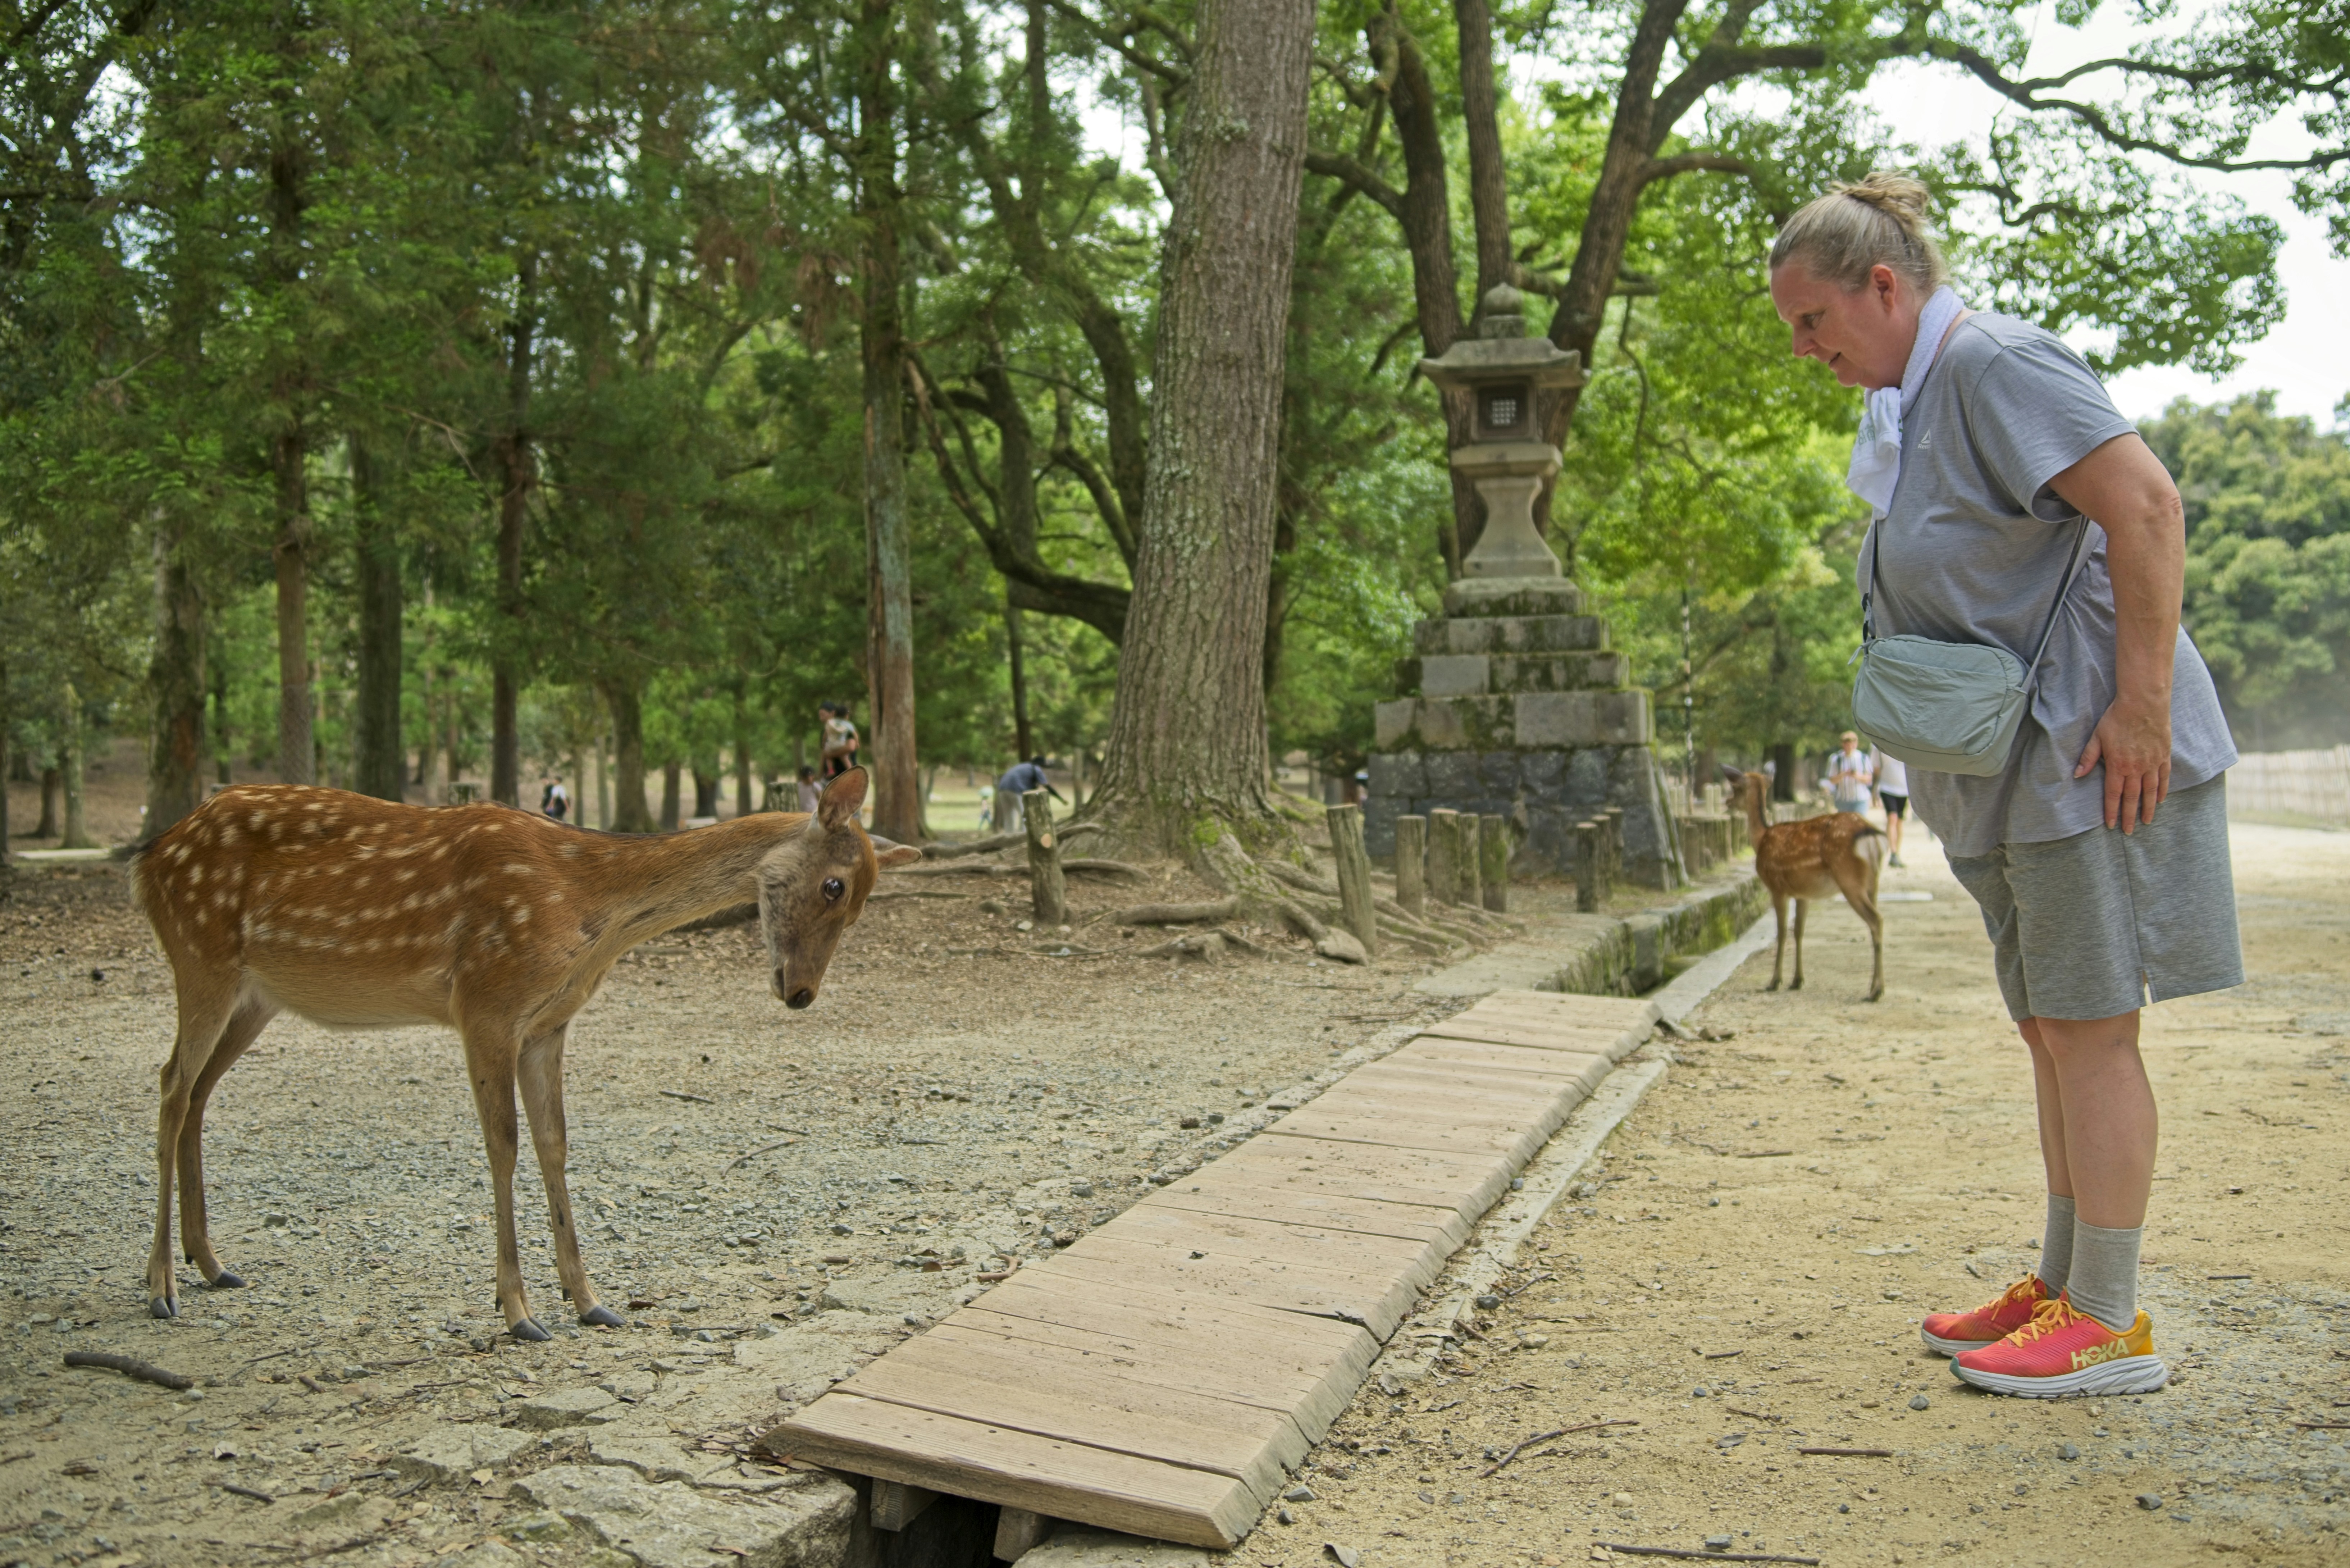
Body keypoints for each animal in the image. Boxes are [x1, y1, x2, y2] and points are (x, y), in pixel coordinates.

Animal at [128, 765, 920, 1340]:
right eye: (835, 885)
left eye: (860, 902)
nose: (801, 993)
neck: (588, 908)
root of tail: (152, 859)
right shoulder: (485, 1004)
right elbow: (503, 1146)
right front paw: (517, 1310)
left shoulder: (547, 1024)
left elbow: (555, 1143)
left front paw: (589, 1299)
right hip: (199, 955)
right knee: (169, 1085)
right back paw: (160, 1285)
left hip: (255, 995)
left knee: (198, 1092)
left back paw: (212, 1264)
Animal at [1722, 767, 1886, 1002]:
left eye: (1736, 787)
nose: (1727, 802)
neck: (1761, 839)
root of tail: (1872, 837)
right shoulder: (1803, 894)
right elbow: (1799, 931)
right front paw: (1797, 981)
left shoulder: (1777, 887)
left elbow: (1782, 932)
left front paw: (1775, 981)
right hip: (1873, 880)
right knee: (1876, 920)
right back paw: (1876, 987)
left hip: (1849, 879)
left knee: (1876, 920)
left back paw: (1876, 991)